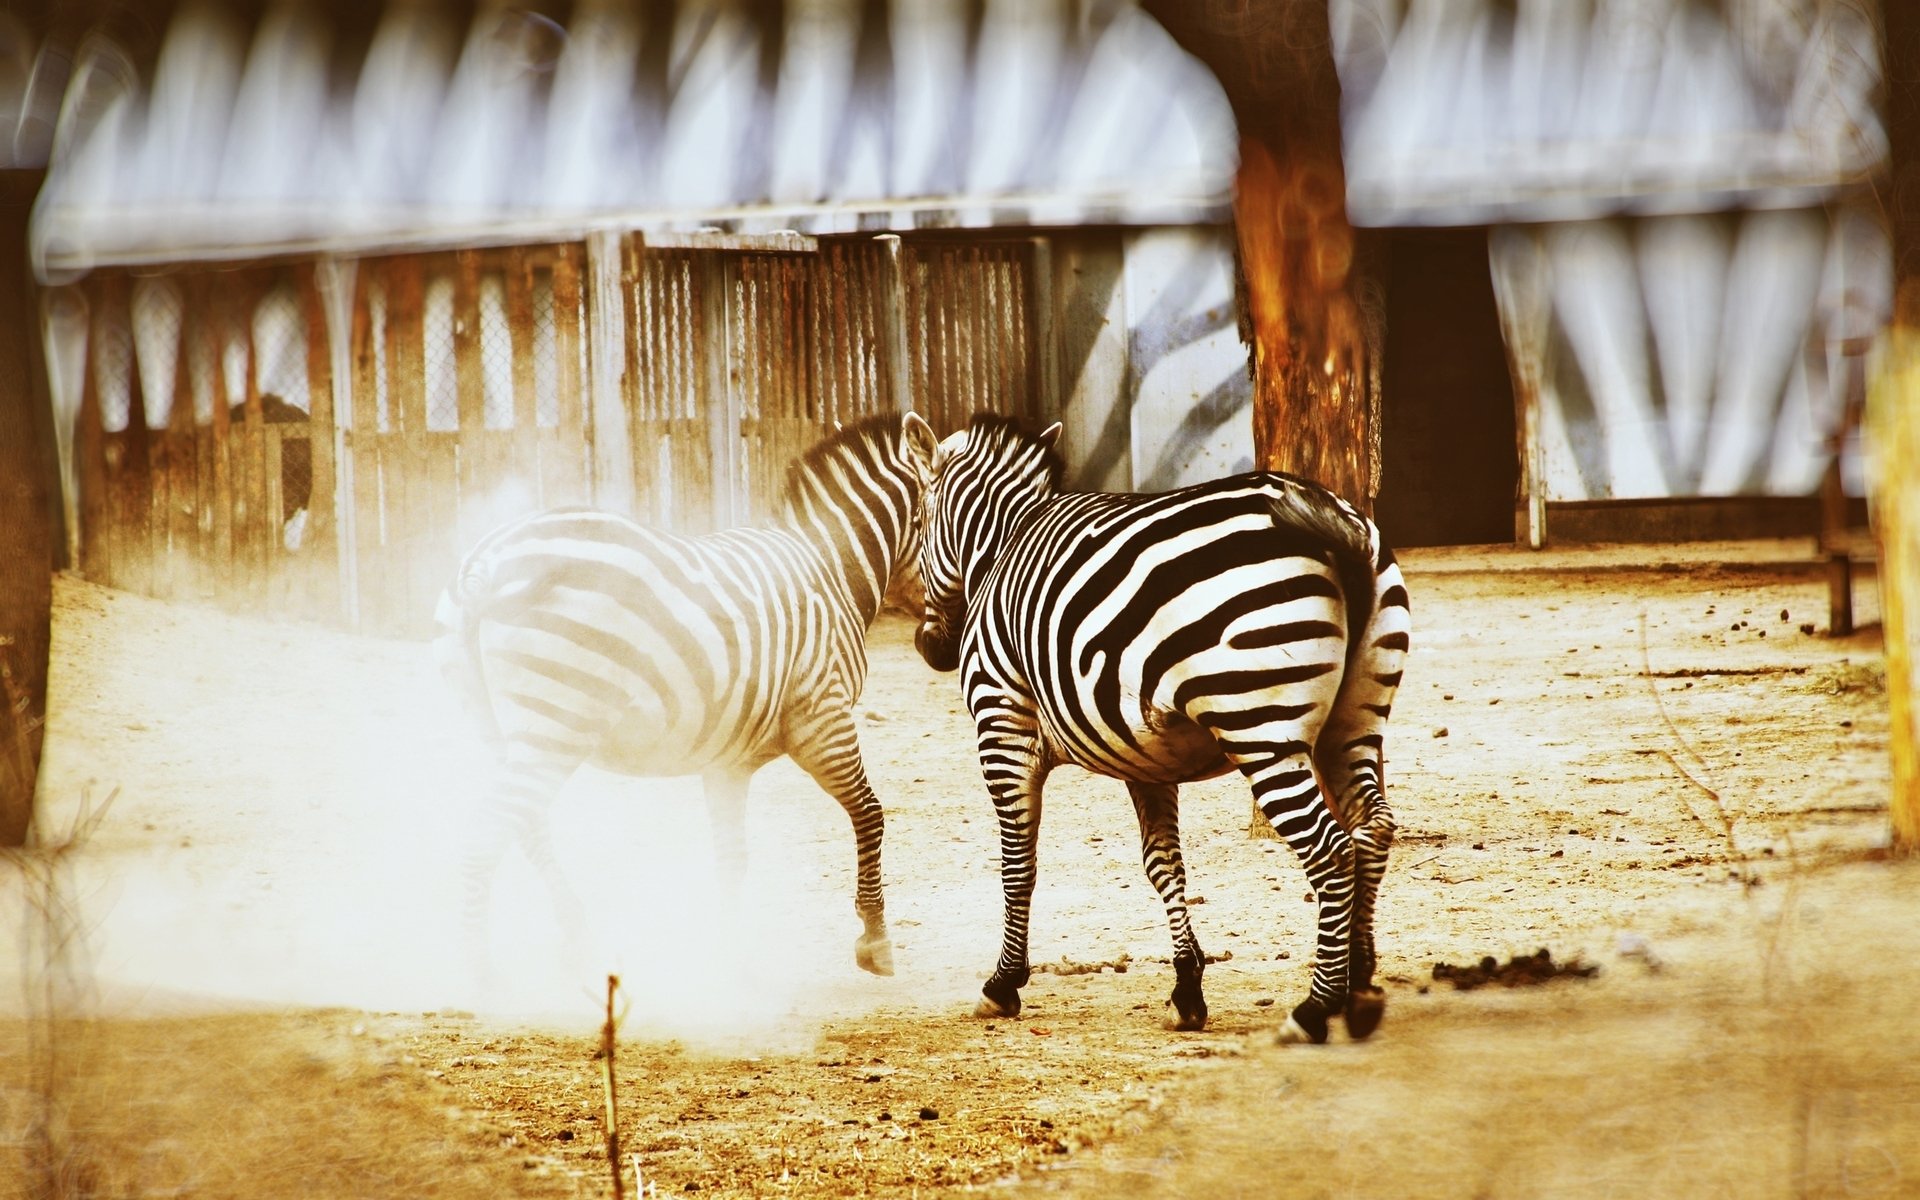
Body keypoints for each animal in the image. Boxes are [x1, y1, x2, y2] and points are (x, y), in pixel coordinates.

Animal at [434, 411, 940, 981]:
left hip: (502, 727)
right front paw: (875, 938)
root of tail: (486, 561)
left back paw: (577, 938)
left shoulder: (729, 762)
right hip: (554, 724)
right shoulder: (823, 718)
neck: (829, 566)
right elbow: (870, 814)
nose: (936, 645)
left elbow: (731, 856)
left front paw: (729, 952)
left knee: (526, 828)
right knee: (485, 837)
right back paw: (479, 975)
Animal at [914, 414, 1410, 1044]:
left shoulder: (1001, 721)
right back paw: (1361, 987)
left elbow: (1017, 863)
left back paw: (1315, 1008)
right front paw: (1187, 987)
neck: (1002, 541)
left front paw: (1003, 984)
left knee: (1331, 852)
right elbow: (1162, 864)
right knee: (1374, 828)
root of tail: (1328, 515)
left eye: (917, 520)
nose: (931, 648)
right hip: (1354, 720)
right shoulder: (1144, 755)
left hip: (1262, 729)